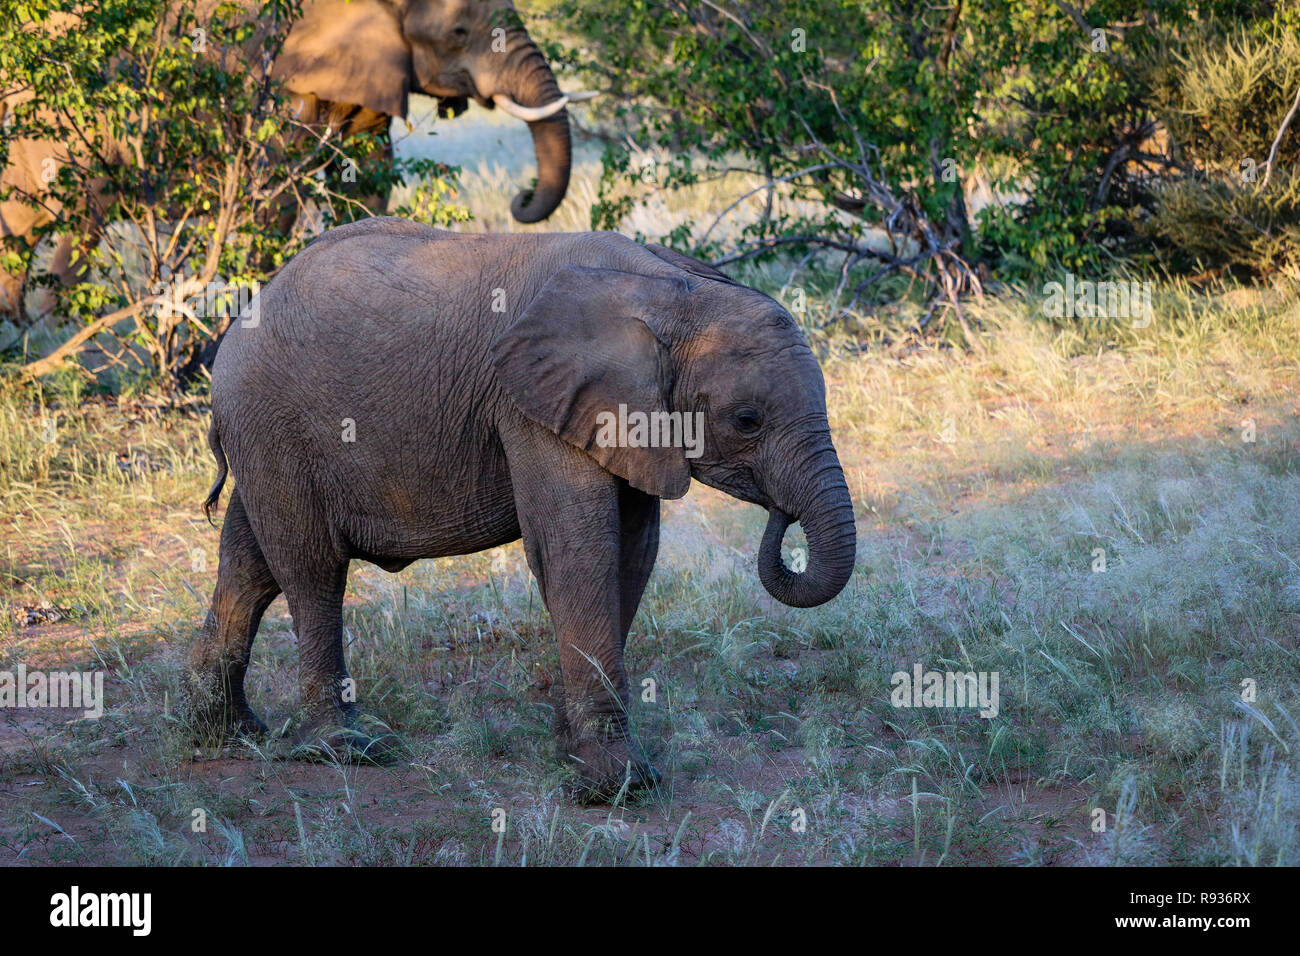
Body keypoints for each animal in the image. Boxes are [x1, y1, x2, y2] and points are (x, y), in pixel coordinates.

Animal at [0, 0, 585, 316]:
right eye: (459, 32)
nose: (520, 199)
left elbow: (368, 180)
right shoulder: (282, 80)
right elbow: (274, 196)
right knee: (78, 214)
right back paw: (50, 327)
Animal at [188, 217, 858, 799]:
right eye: (747, 420)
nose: (781, 517)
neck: (669, 290)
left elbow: (634, 551)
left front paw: (570, 747)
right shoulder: (531, 405)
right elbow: (577, 549)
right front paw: (615, 786)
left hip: (264, 433)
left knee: (249, 564)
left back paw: (226, 736)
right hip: (274, 423)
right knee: (311, 567)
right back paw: (342, 750)